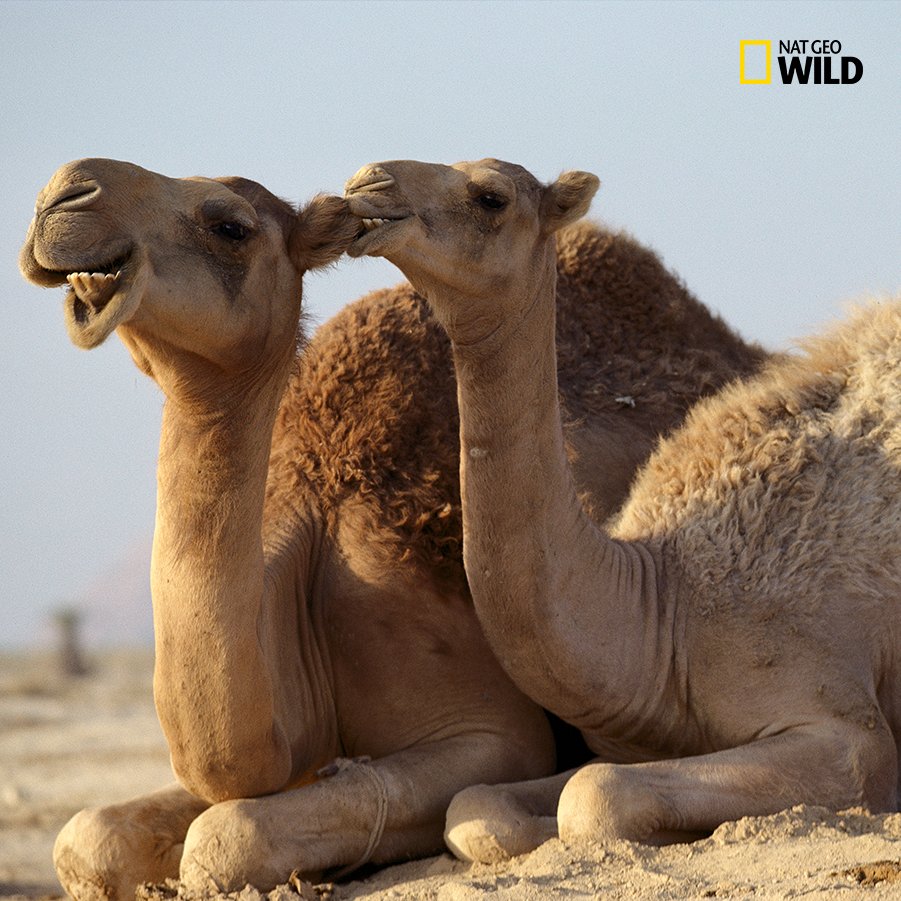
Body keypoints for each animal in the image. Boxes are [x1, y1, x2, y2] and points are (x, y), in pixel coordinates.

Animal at [344, 157, 901, 863]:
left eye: (491, 196)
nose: (369, 182)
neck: (663, 609)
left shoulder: (843, 723)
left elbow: (594, 794)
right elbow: (474, 805)